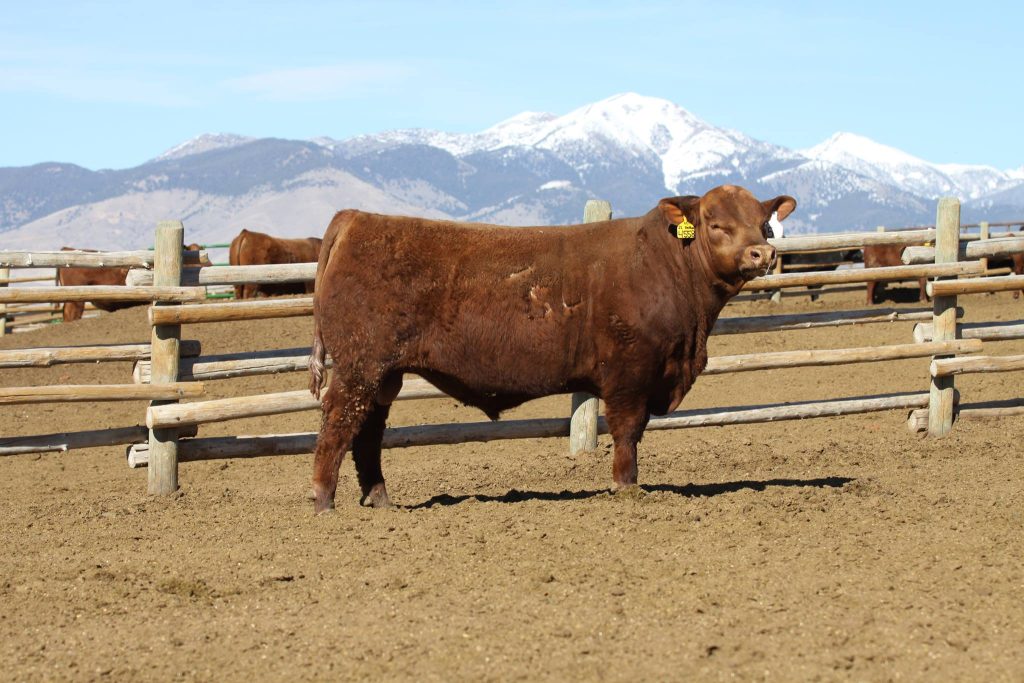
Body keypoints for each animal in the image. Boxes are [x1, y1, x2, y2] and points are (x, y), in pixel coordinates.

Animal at [307, 184, 795, 513]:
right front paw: (626, 488)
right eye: (716, 223)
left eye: (764, 223)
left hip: (383, 374)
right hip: (360, 366)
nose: (761, 253)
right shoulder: (629, 373)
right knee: (337, 425)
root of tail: (357, 217)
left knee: (367, 432)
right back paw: (324, 502)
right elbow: (627, 432)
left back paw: (380, 501)